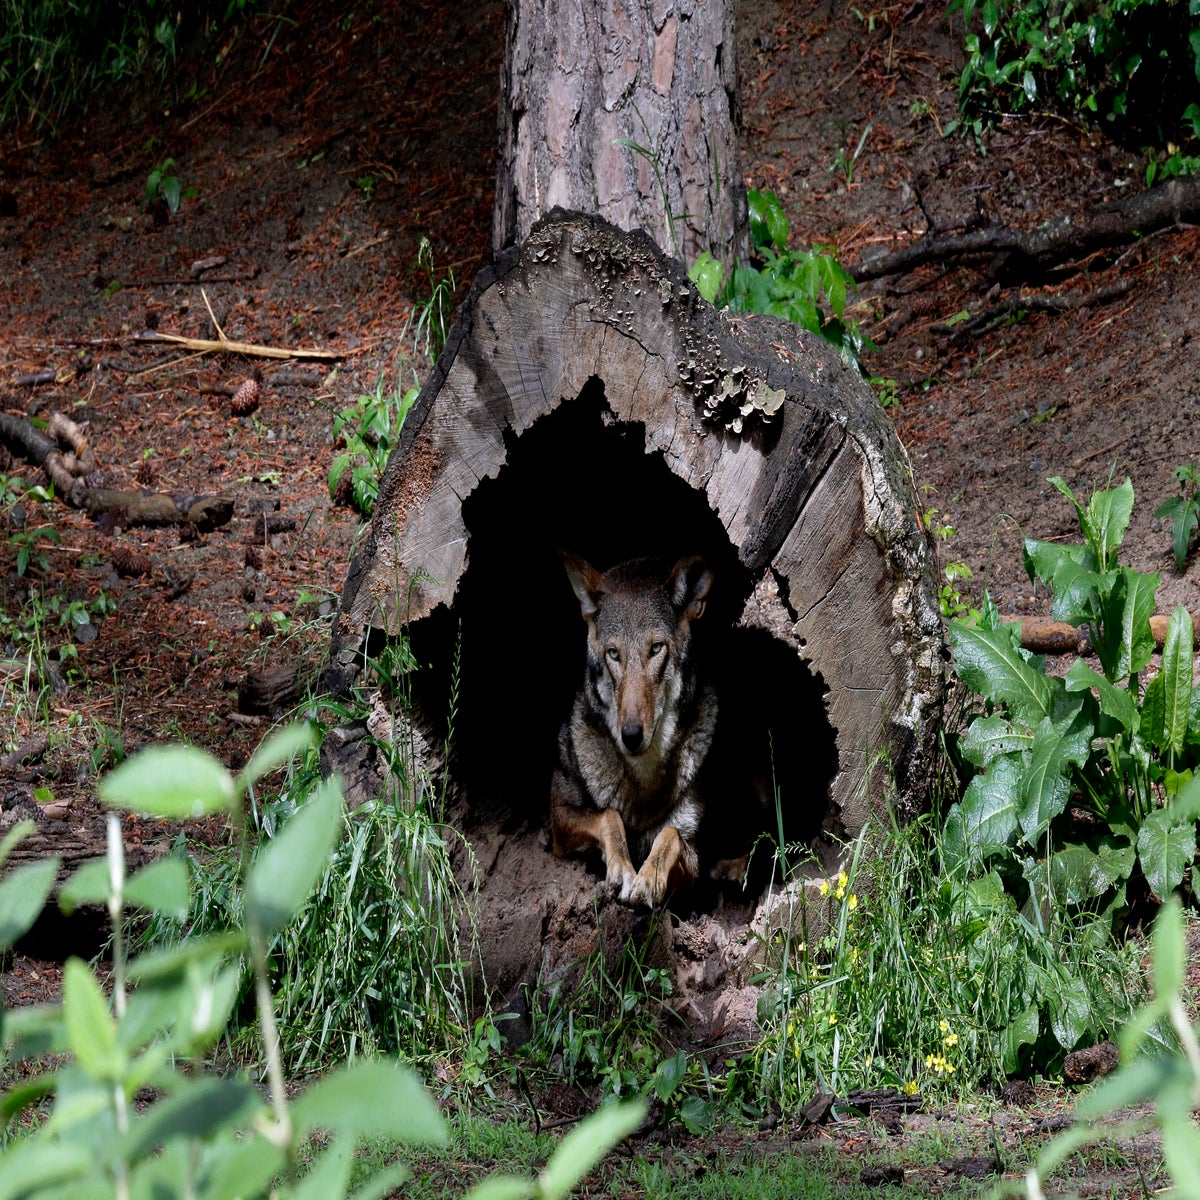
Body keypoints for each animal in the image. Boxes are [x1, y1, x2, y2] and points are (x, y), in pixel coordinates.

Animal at [550, 552, 719, 908]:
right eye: (614, 654)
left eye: (656, 648)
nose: (630, 735)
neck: (644, 780)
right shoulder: (558, 816)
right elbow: (609, 816)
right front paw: (623, 870)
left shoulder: (693, 861)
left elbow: (670, 835)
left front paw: (648, 878)